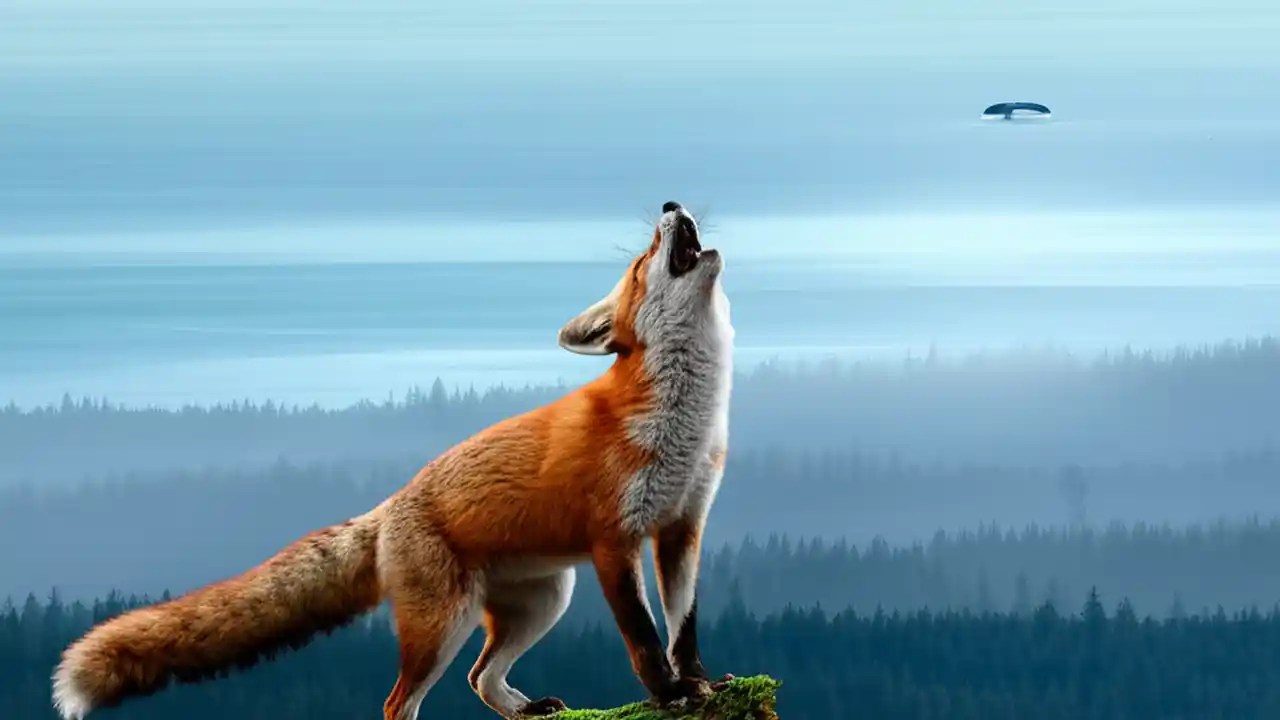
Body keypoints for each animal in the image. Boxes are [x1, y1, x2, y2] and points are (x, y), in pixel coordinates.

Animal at [52, 201, 736, 720]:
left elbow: (684, 626)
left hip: (542, 601)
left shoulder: (682, 526)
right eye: (645, 258)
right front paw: (671, 694)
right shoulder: (612, 540)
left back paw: (524, 709)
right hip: (445, 626)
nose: (671, 203)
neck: (684, 426)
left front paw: (703, 680)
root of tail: (388, 506)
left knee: (479, 678)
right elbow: (643, 640)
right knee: (399, 701)